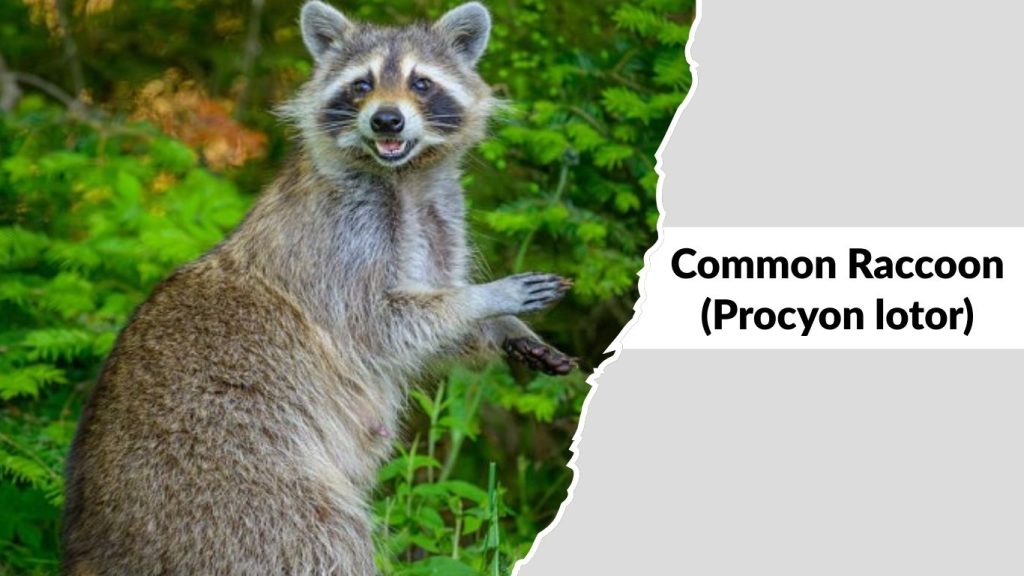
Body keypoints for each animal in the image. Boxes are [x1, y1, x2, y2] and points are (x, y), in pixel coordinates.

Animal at [61, 2, 574, 574]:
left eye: (421, 83)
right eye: (361, 85)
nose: (386, 119)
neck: (406, 177)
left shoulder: (441, 221)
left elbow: (430, 319)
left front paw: (507, 329)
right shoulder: (337, 241)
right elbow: (382, 324)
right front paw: (488, 297)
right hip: (229, 482)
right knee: (318, 537)